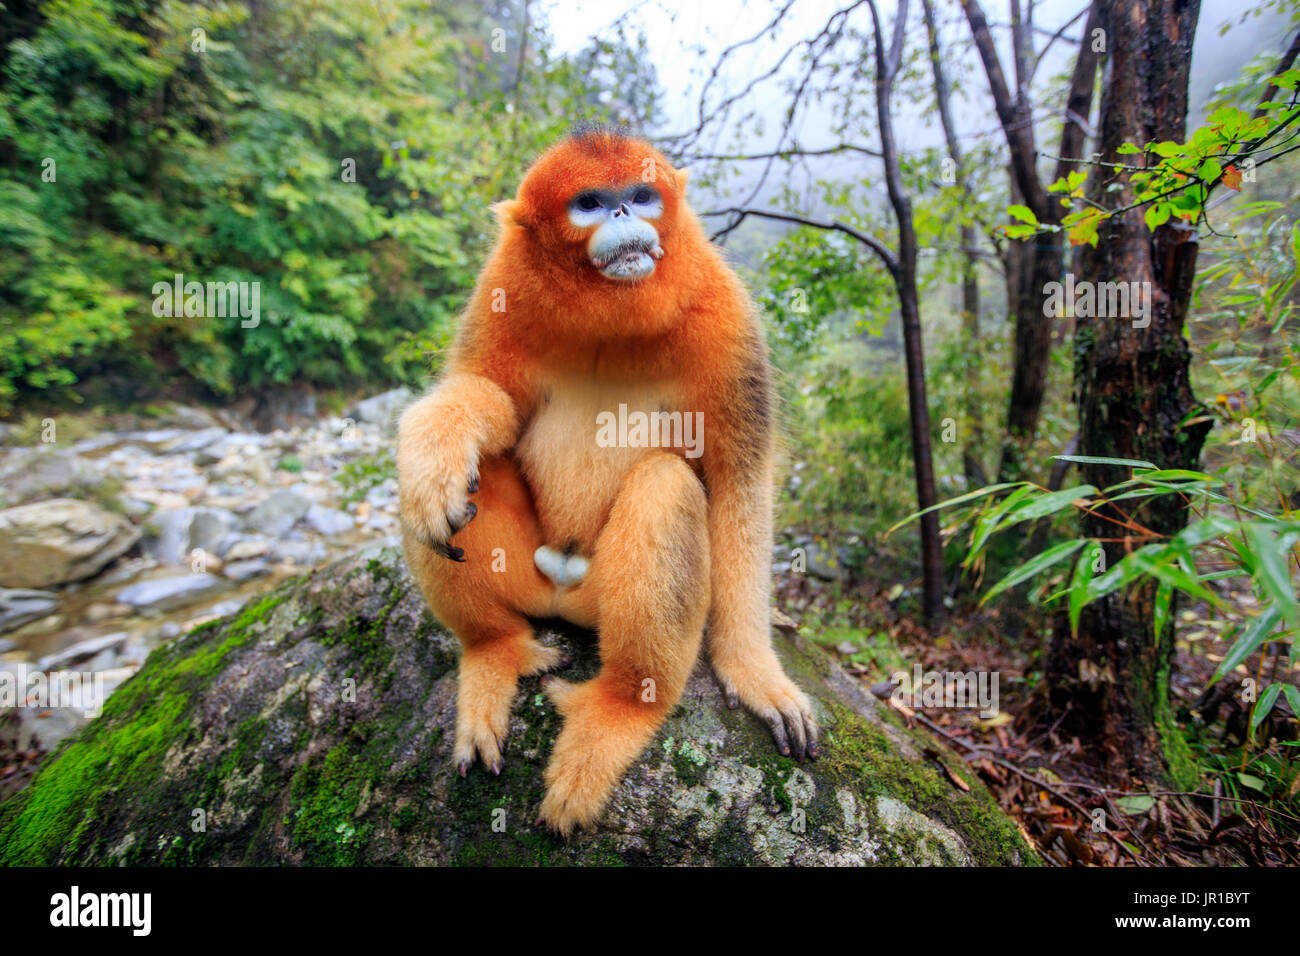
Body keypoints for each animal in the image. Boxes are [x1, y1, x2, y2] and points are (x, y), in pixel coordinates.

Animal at [397, 124, 819, 836]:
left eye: (641, 195)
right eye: (590, 203)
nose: (623, 213)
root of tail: (564, 587)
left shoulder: (725, 312)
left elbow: (740, 481)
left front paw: (754, 671)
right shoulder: (501, 287)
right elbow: (494, 406)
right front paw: (436, 449)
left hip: (600, 595)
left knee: (666, 486)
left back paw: (622, 709)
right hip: (532, 577)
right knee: (455, 492)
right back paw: (493, 651)